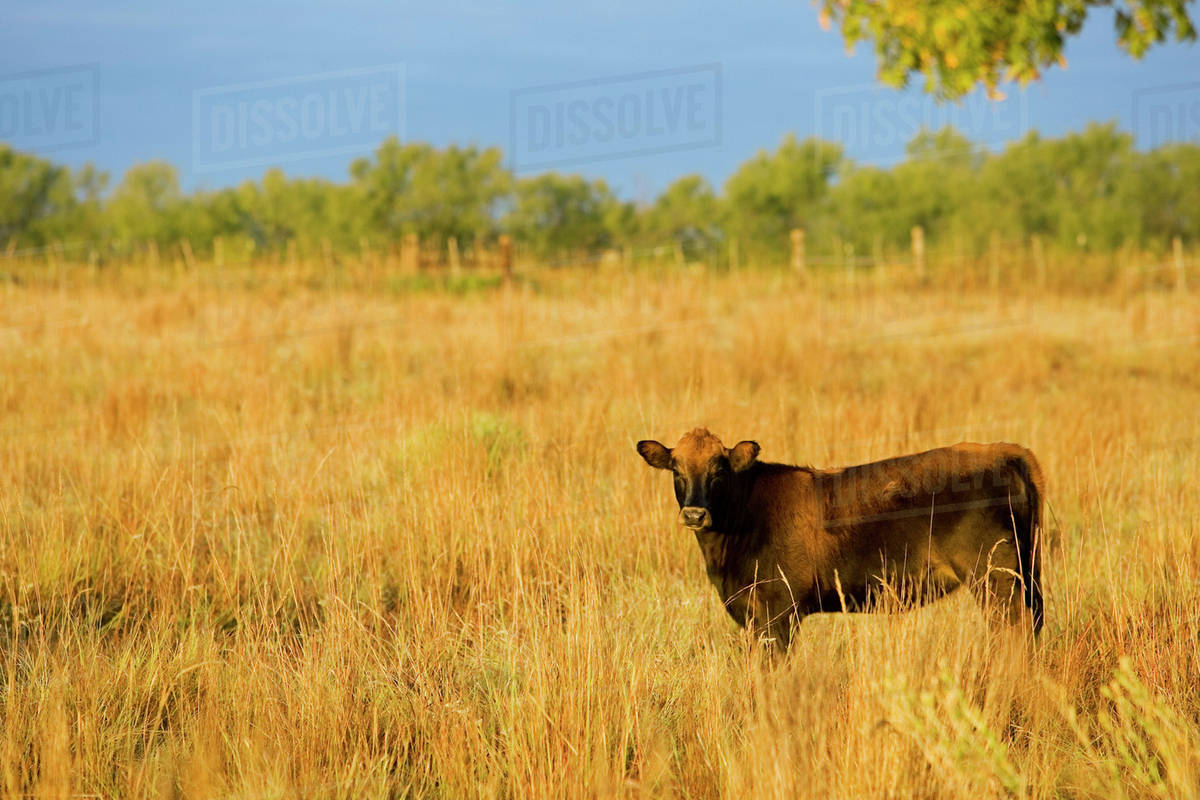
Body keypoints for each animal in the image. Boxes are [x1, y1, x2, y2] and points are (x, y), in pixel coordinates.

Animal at [636, 428, 1044, 649]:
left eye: (719, 470)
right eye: (676, 469)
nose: (694, 514)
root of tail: (1002, 451)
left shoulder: (778, 613)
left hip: (996, 580)